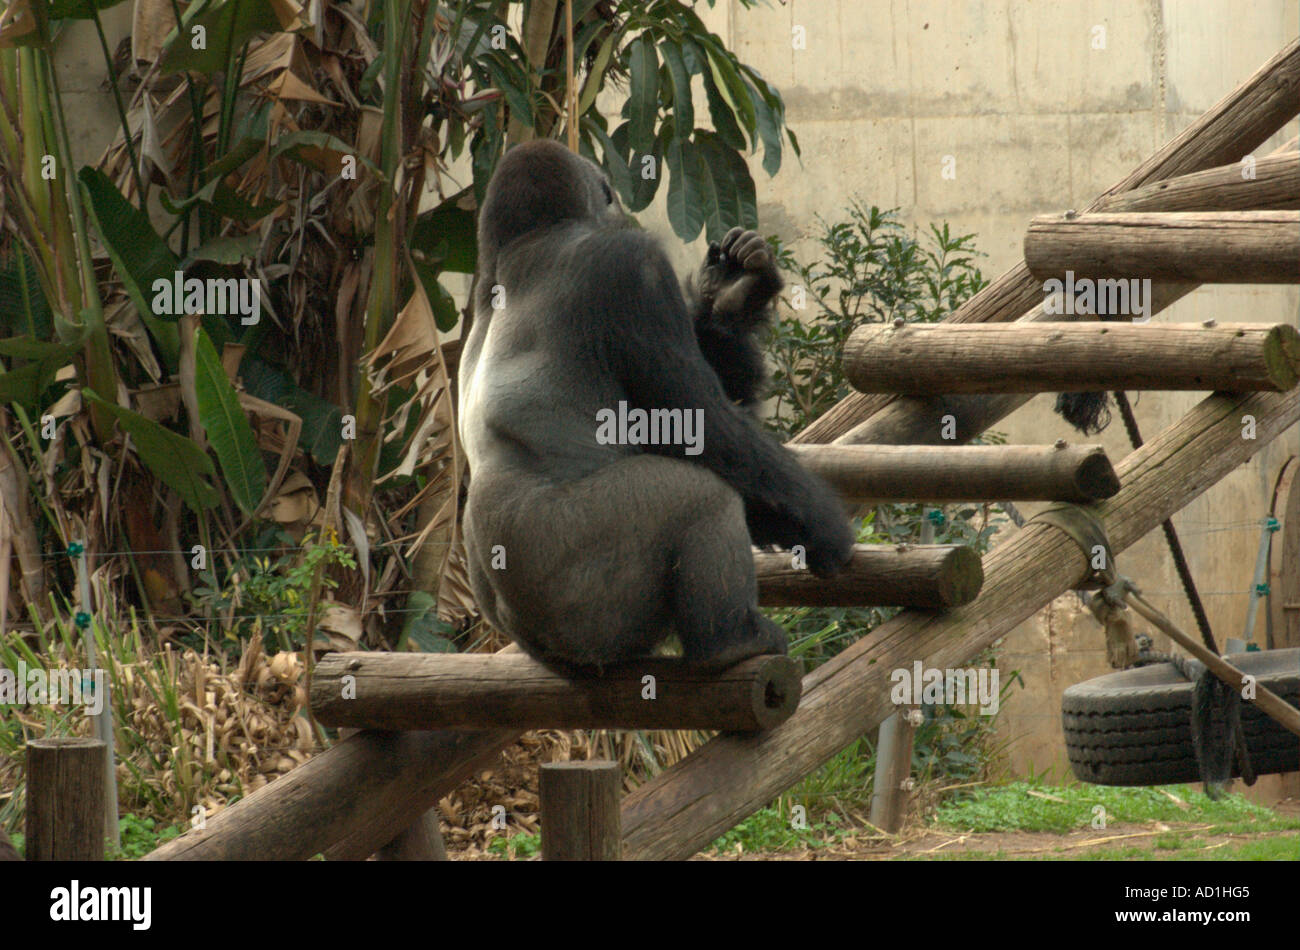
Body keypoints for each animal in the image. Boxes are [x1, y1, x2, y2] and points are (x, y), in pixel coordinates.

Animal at [458, 139, 853, 671]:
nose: (620, 209)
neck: (514, 246)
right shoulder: (628, 263)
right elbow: (698, 421)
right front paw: (823, 526)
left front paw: (730, 297)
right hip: (582, 601)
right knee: (700, 496)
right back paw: (731, 641)